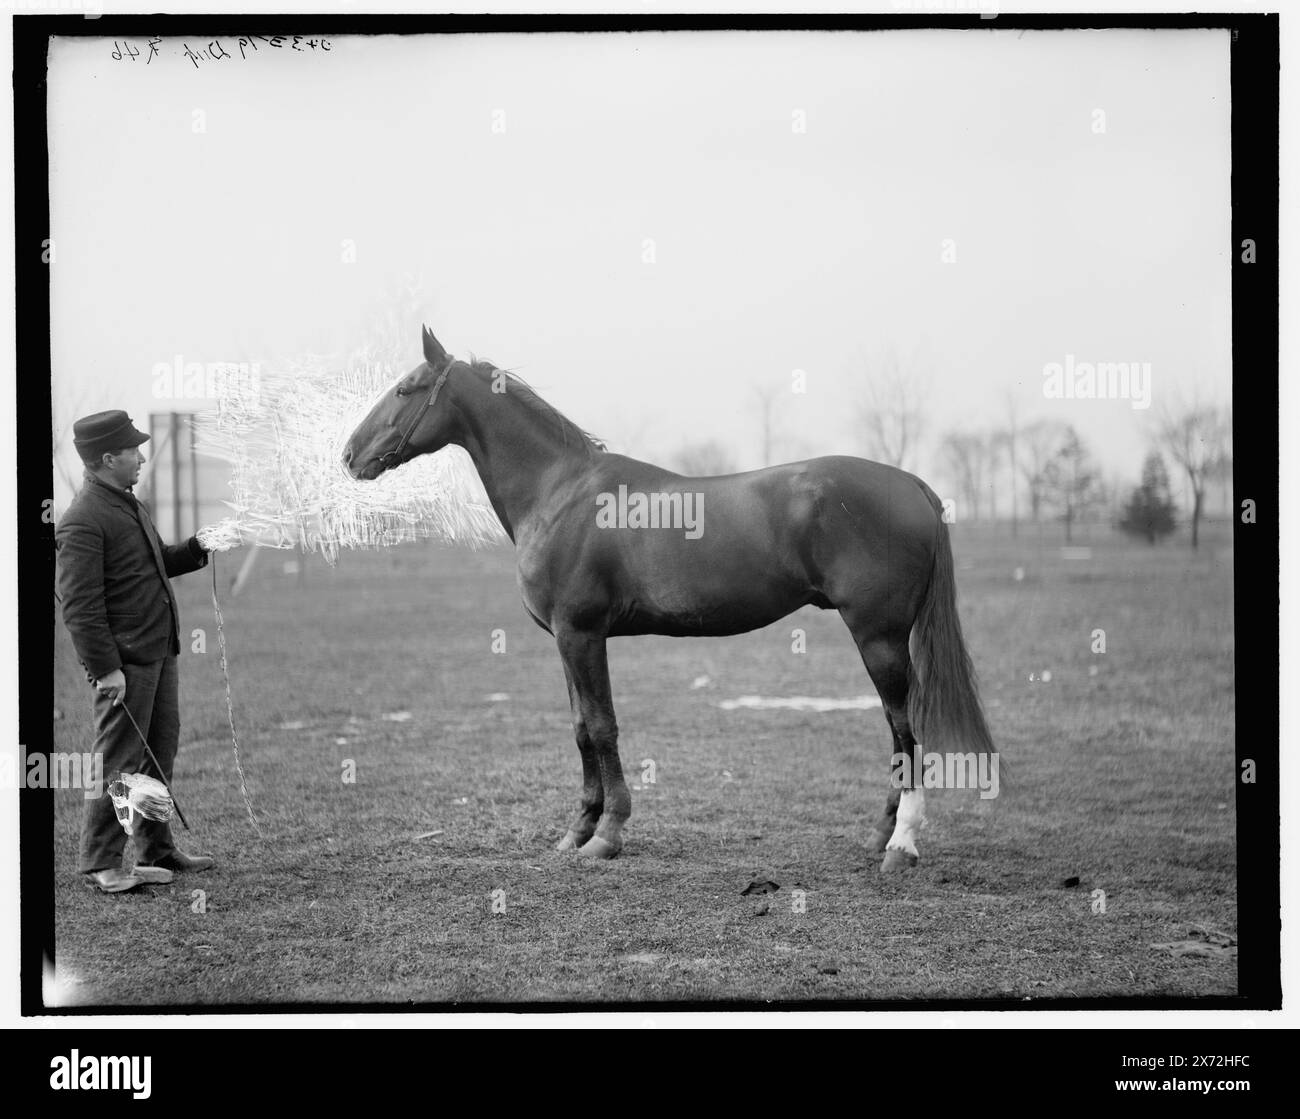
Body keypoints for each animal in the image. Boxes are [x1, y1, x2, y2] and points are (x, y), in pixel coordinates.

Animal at [343, 326, 996, 871]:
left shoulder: (582, 634)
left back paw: (901, 845)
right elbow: (580, 728)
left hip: (878, 636)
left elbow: (603, 727)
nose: (350, 456)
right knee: (895, 731)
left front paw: (607, 834)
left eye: (404, 389)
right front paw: (577, 831)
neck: (559, 492)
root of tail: (912, 484)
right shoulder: (566, 641)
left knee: (904, 728)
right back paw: (879, 836)